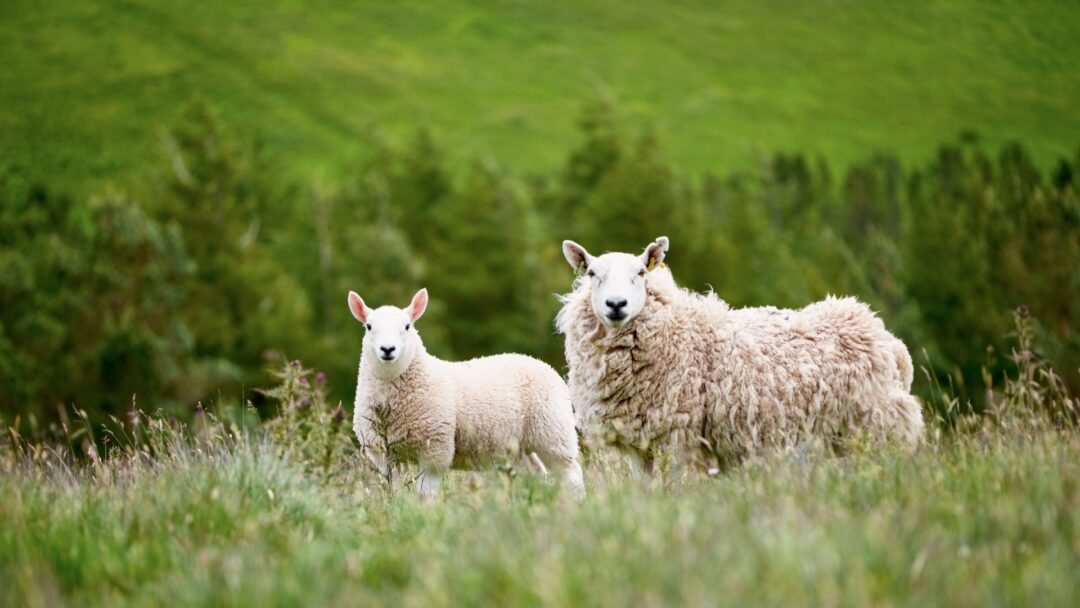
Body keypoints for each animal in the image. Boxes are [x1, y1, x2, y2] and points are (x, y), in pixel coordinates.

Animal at [349, 288, 585, 499]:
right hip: (517, 445)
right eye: (369, 326)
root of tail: (541, 363)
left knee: (571, 472)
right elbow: (393, 490)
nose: (388, 349)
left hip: (553, 430)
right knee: (534, 473)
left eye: (407, 326)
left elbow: (426, 494)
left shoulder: (435, 449)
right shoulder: (381, 453)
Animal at [556, 236, 924, 471]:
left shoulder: (680, 439)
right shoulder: (641, 447)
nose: (616, 304)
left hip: (876, 428)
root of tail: (888, 340)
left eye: (642, 273)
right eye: (592, 273)